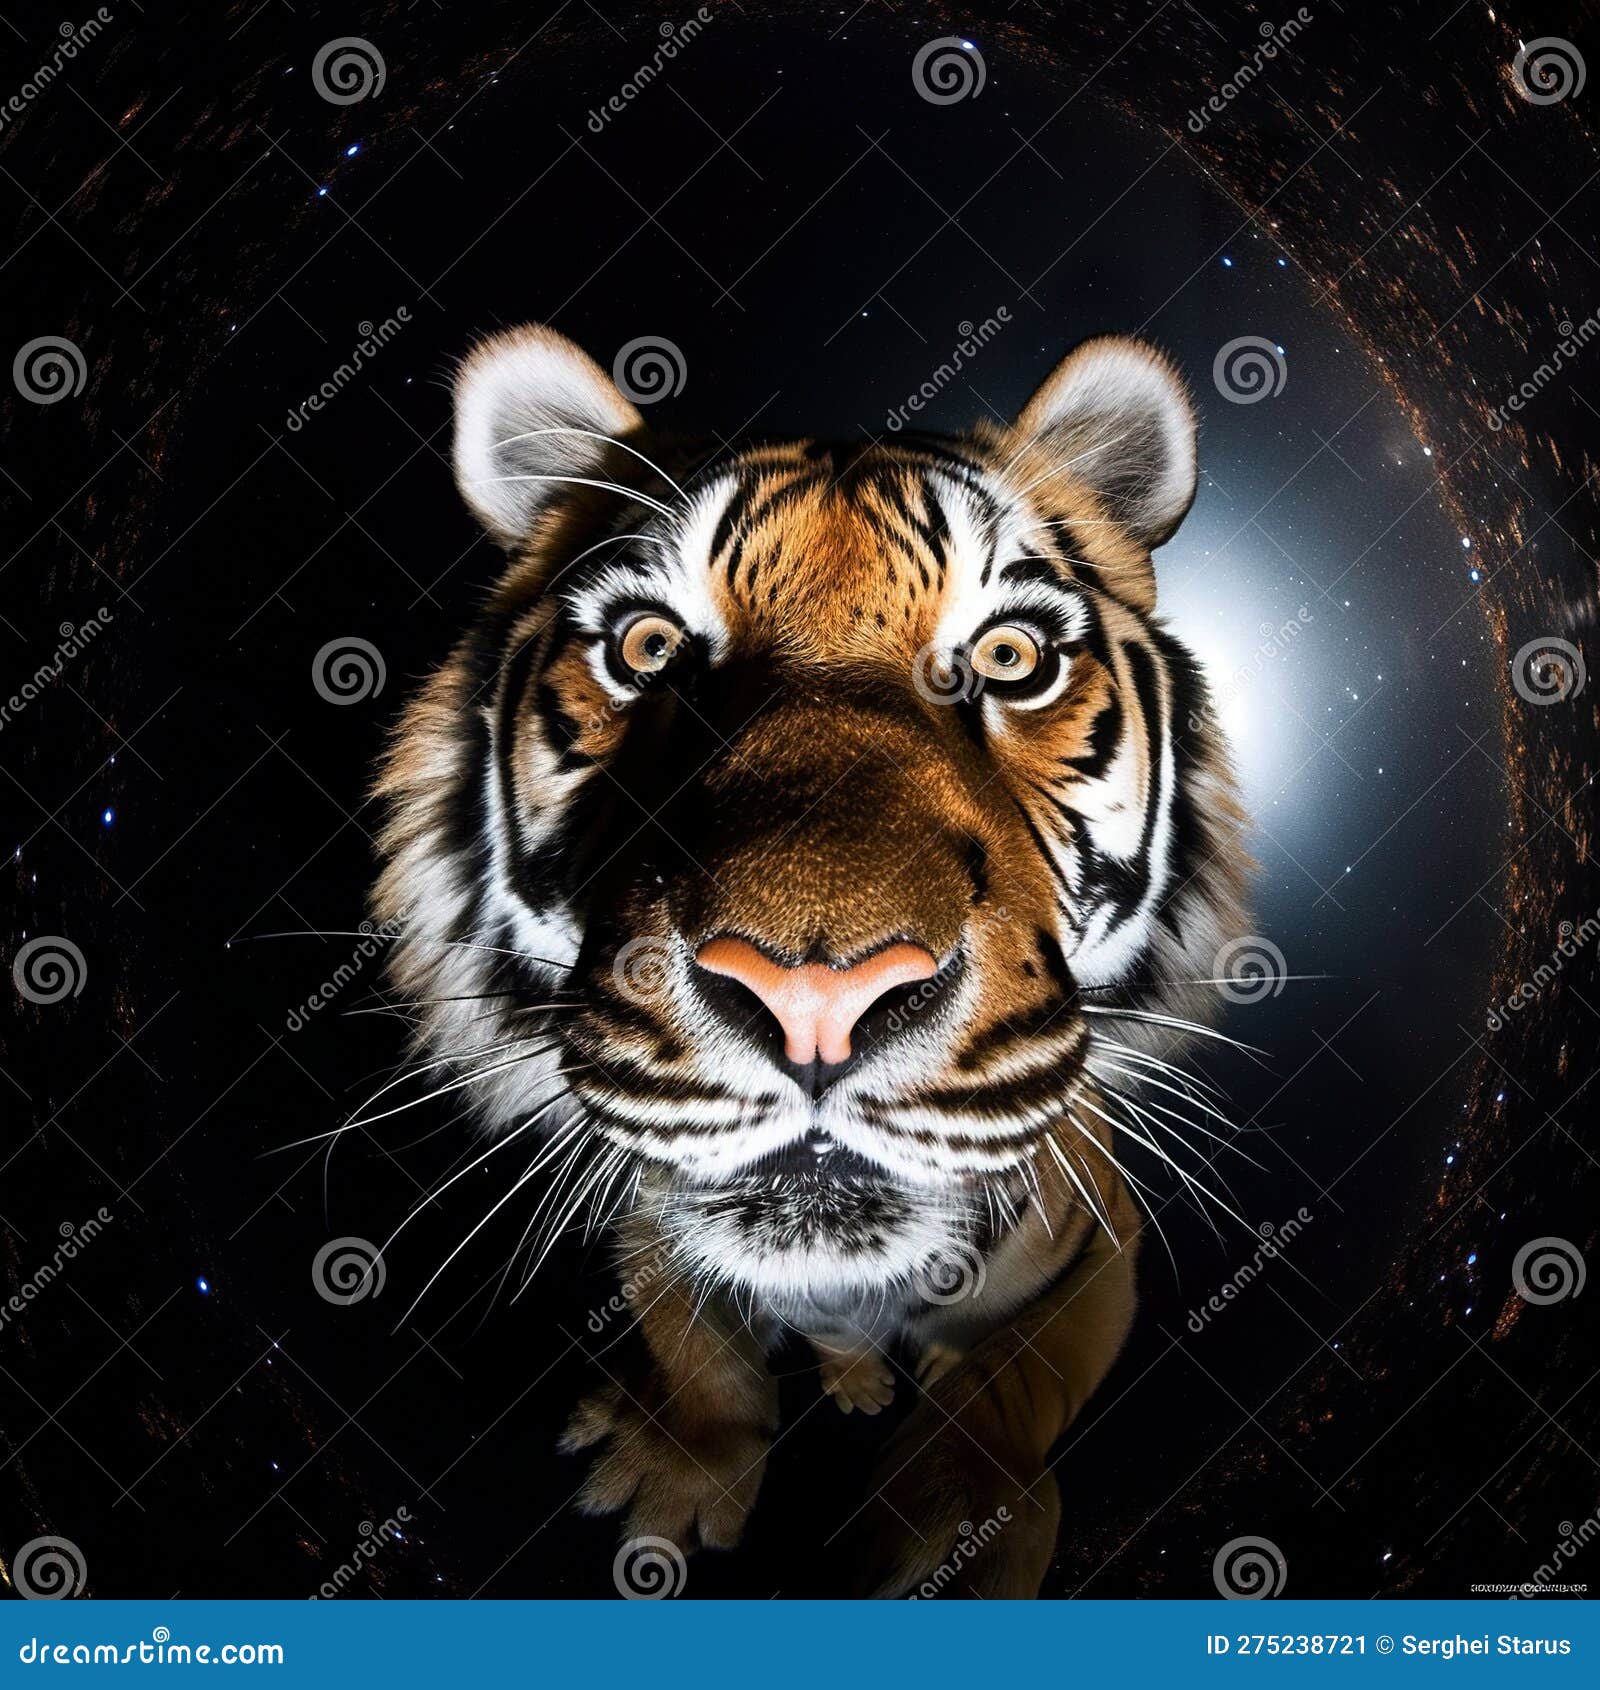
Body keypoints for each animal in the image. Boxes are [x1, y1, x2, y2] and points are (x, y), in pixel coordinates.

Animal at [370, 322, 1252, 1598]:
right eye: (647, 649)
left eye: (1011, 655)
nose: (815, 1003)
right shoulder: (654, 1191)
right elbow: (692, 1336)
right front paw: (678, 1467)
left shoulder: (1097, 1248)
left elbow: (1001, 1404)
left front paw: (954, 1532)